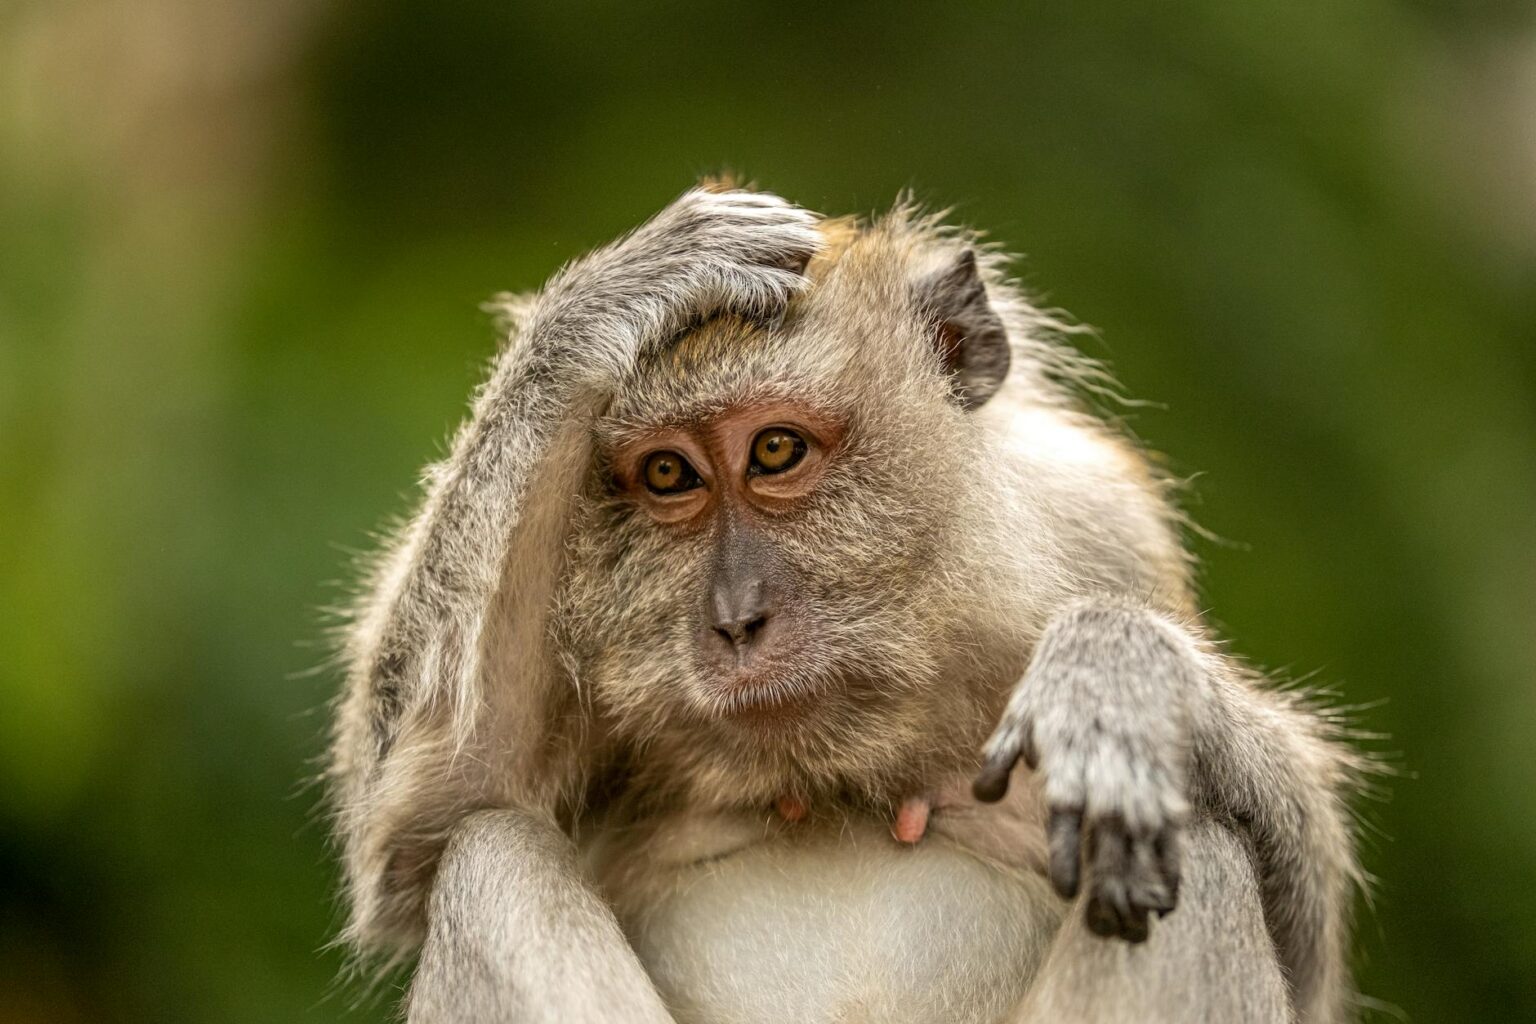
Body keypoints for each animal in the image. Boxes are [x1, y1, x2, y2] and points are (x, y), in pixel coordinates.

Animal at [327, 184, 1365, 1024]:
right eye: (669, 474)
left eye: (776, 451)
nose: (736, 620)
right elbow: (425, 830)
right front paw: (597, 308)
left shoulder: (1102, 526)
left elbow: (1308, 947)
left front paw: (1120, 679)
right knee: (490, 852)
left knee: (1205, 854)